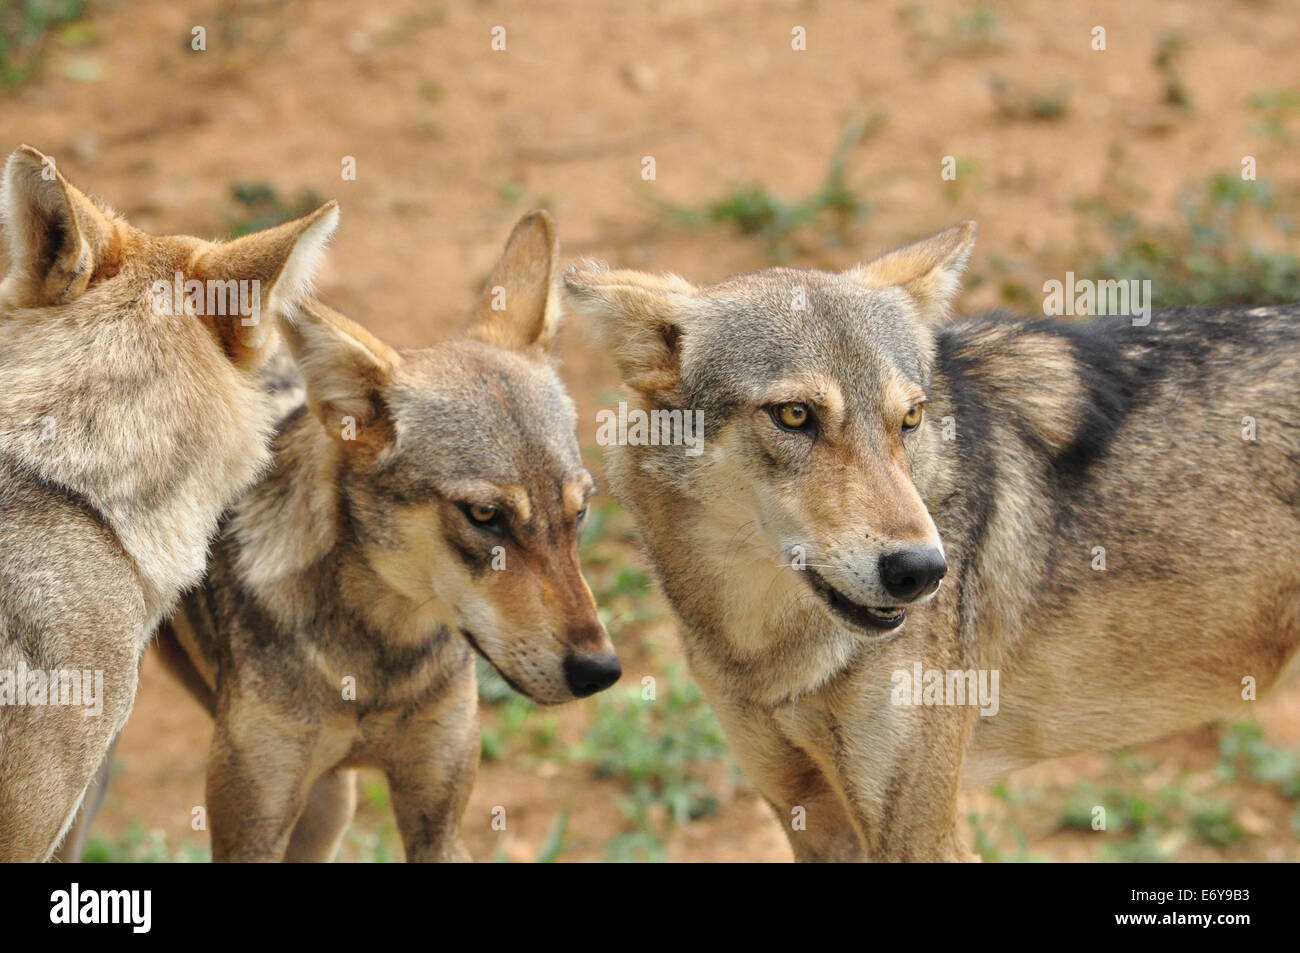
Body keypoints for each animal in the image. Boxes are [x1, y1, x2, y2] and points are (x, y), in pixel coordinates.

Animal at [143, 210, 618, 862]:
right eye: (485, 515)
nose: (601, 671)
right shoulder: (249, 828)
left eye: (580, 512)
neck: (380, 664)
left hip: (329, 808)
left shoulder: (438, 821)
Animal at [564, 221, 1300, 861]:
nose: (921, 570)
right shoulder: (810, 817)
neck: (770, 652)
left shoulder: (919, 832)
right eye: (795, 415)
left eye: (910, 418)